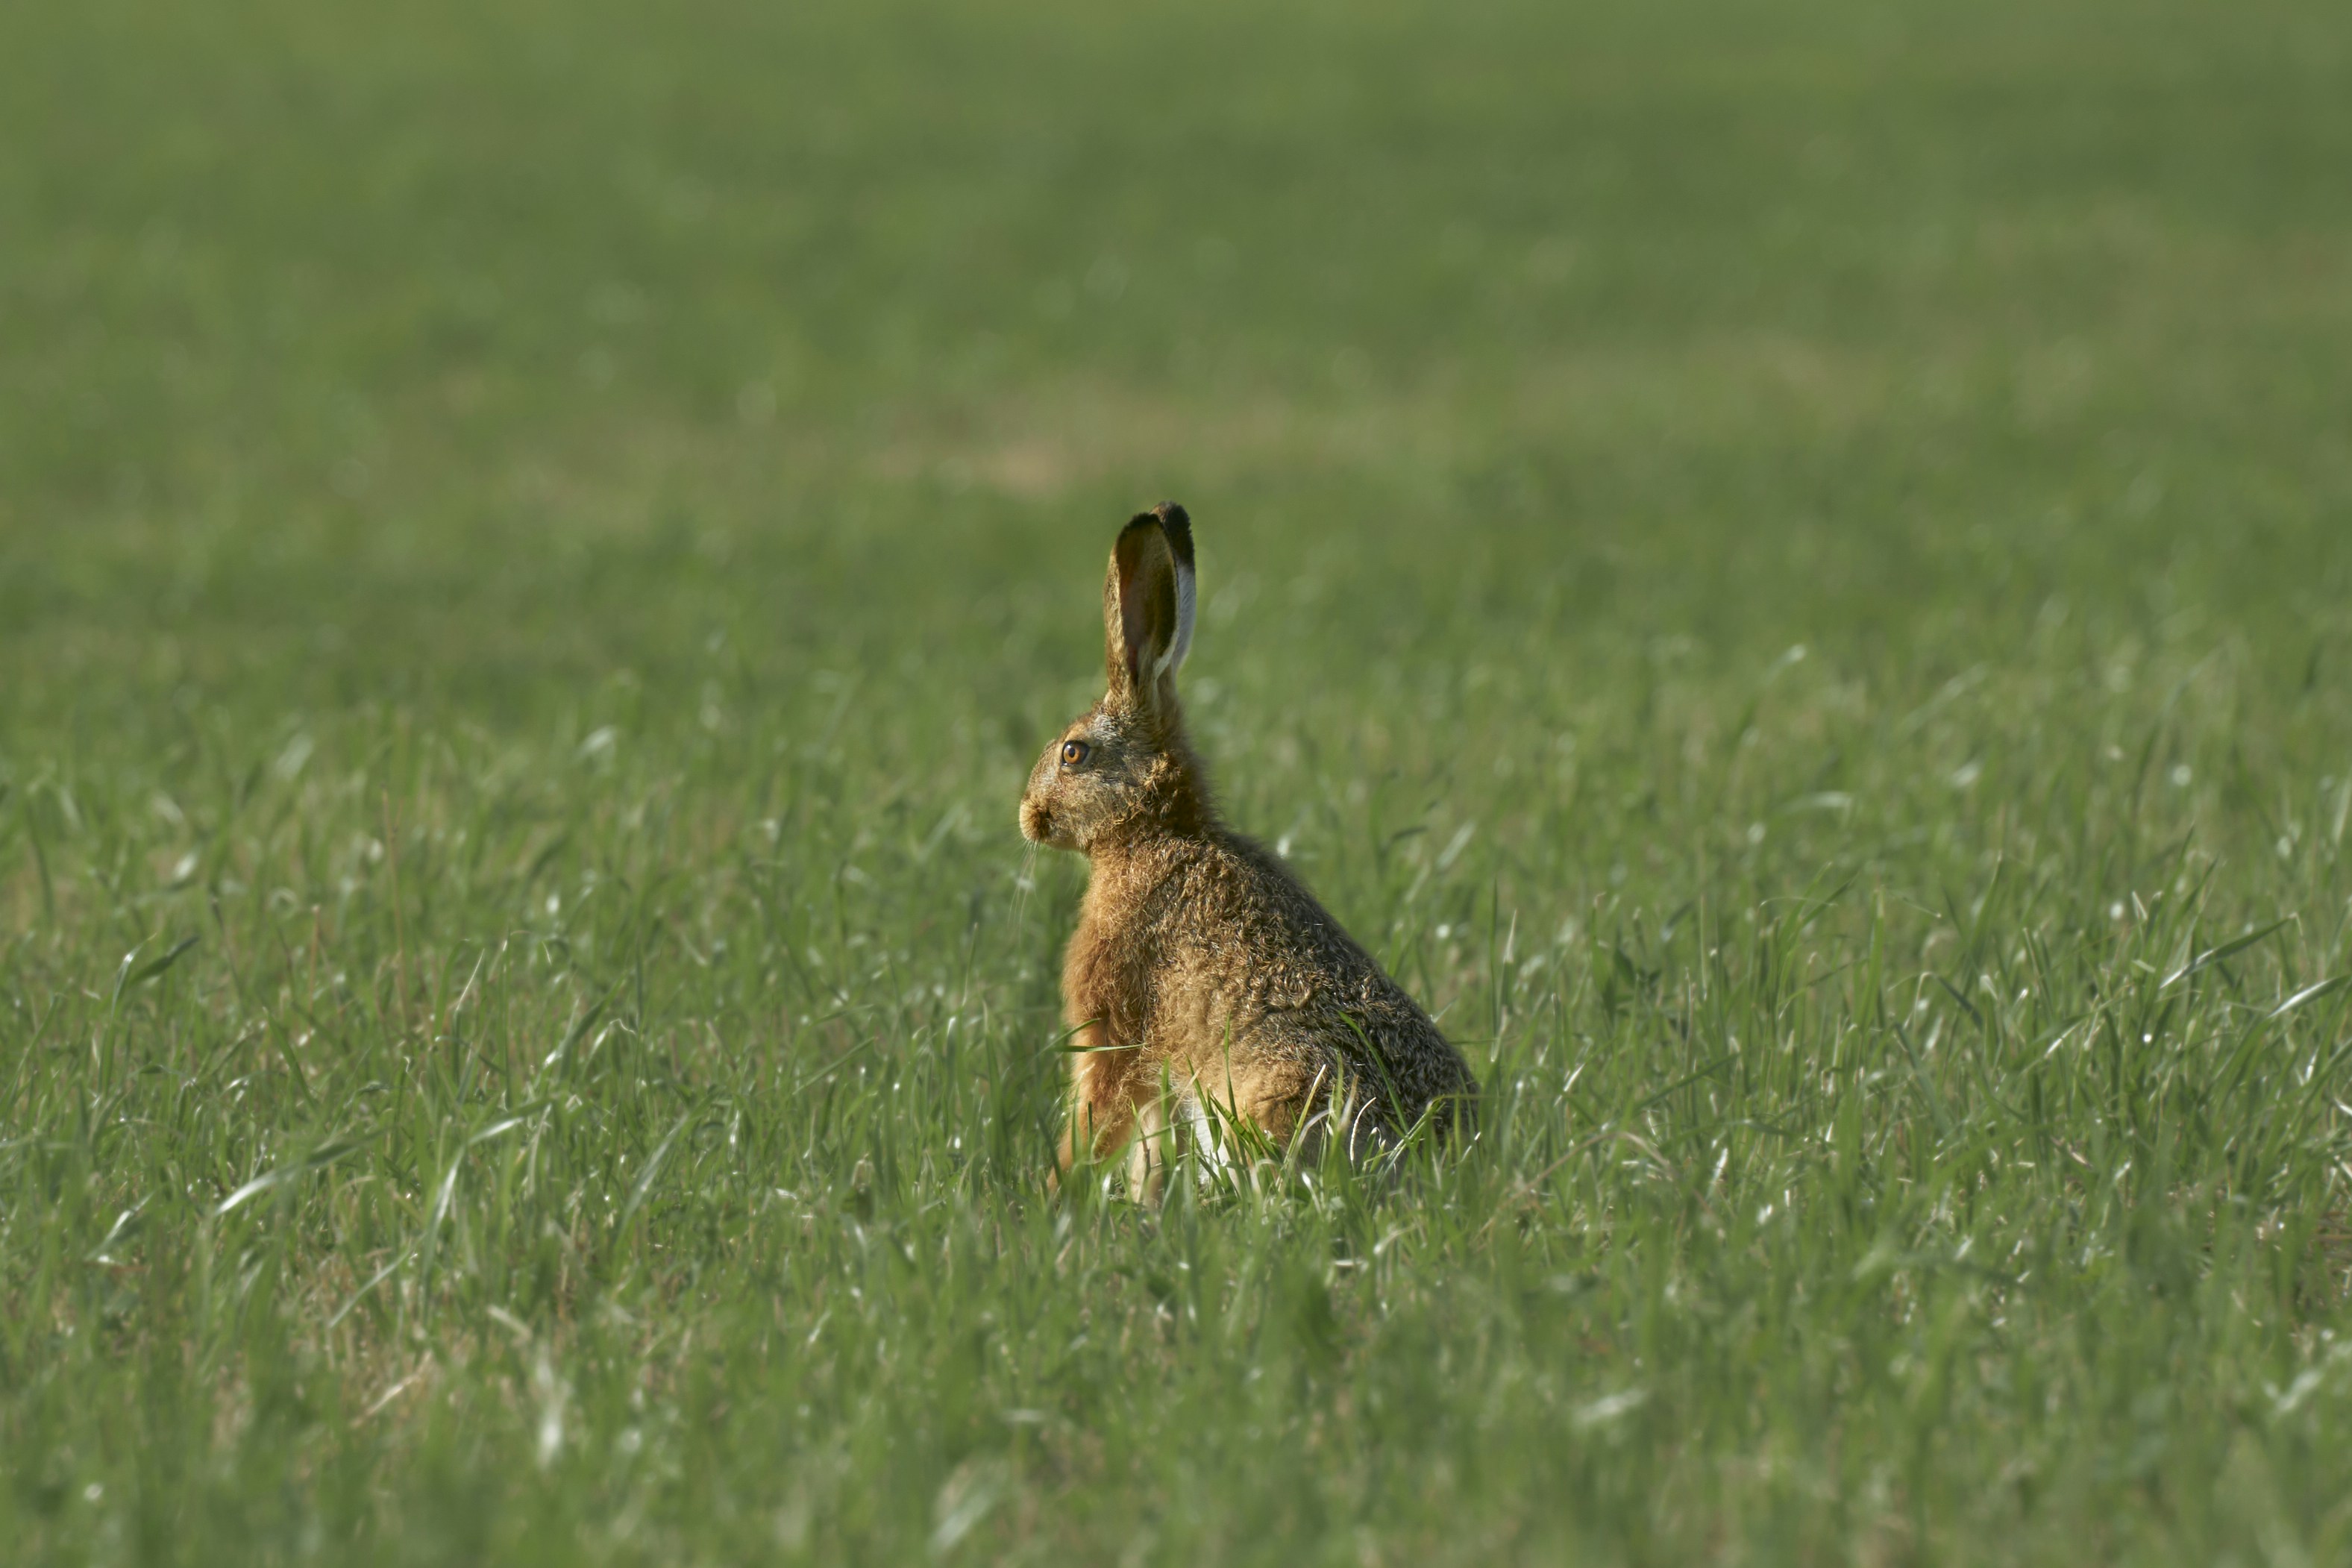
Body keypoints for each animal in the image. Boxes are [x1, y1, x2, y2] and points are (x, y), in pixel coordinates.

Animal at [1020, 503, 1477, 1193]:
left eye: (1074, 753)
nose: (1027, 816)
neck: (1153, 834)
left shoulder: (1115, 1026)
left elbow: (1098, 1115)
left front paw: (1052, 1190)